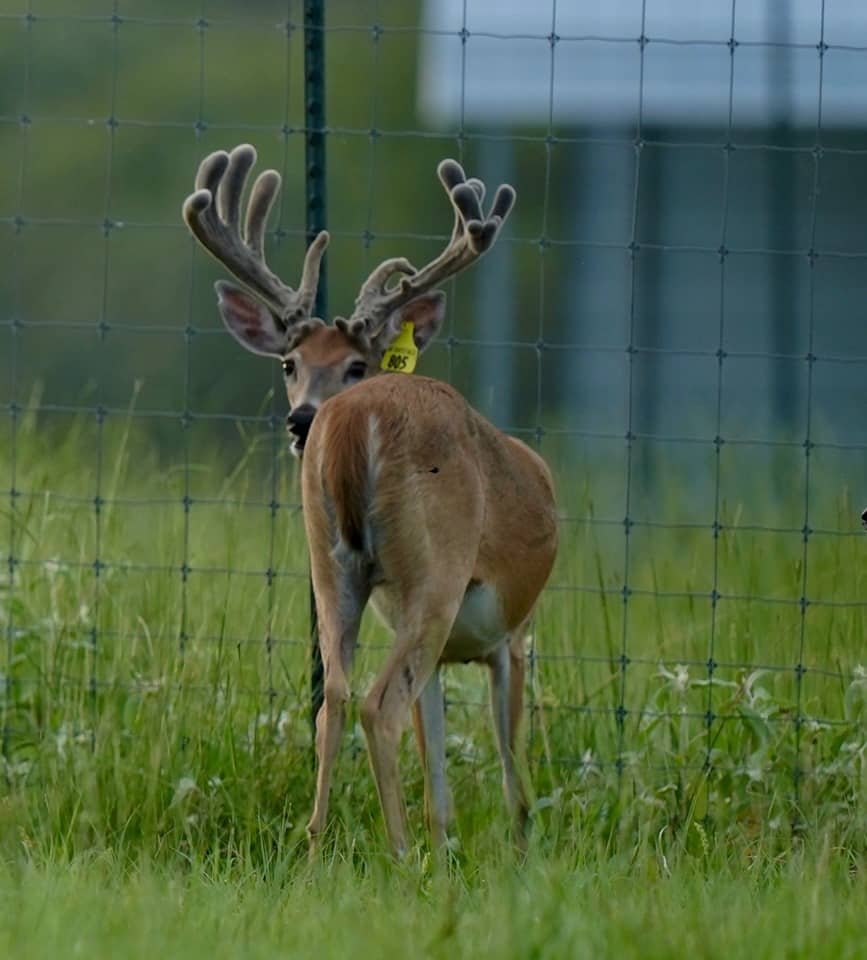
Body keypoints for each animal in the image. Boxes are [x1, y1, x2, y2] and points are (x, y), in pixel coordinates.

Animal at [183, 144, 558, 860]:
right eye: (289, 363)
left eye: (356, 362)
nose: (300, 419)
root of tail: (355, 422)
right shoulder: (512, 635)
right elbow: (514, 780)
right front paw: (520, 863)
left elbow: (441, 784)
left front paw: (449, 859)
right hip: (433, 572)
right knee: (376, 705)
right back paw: (400, 857)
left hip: (329, 564)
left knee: (331, 696)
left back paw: (313, 851)